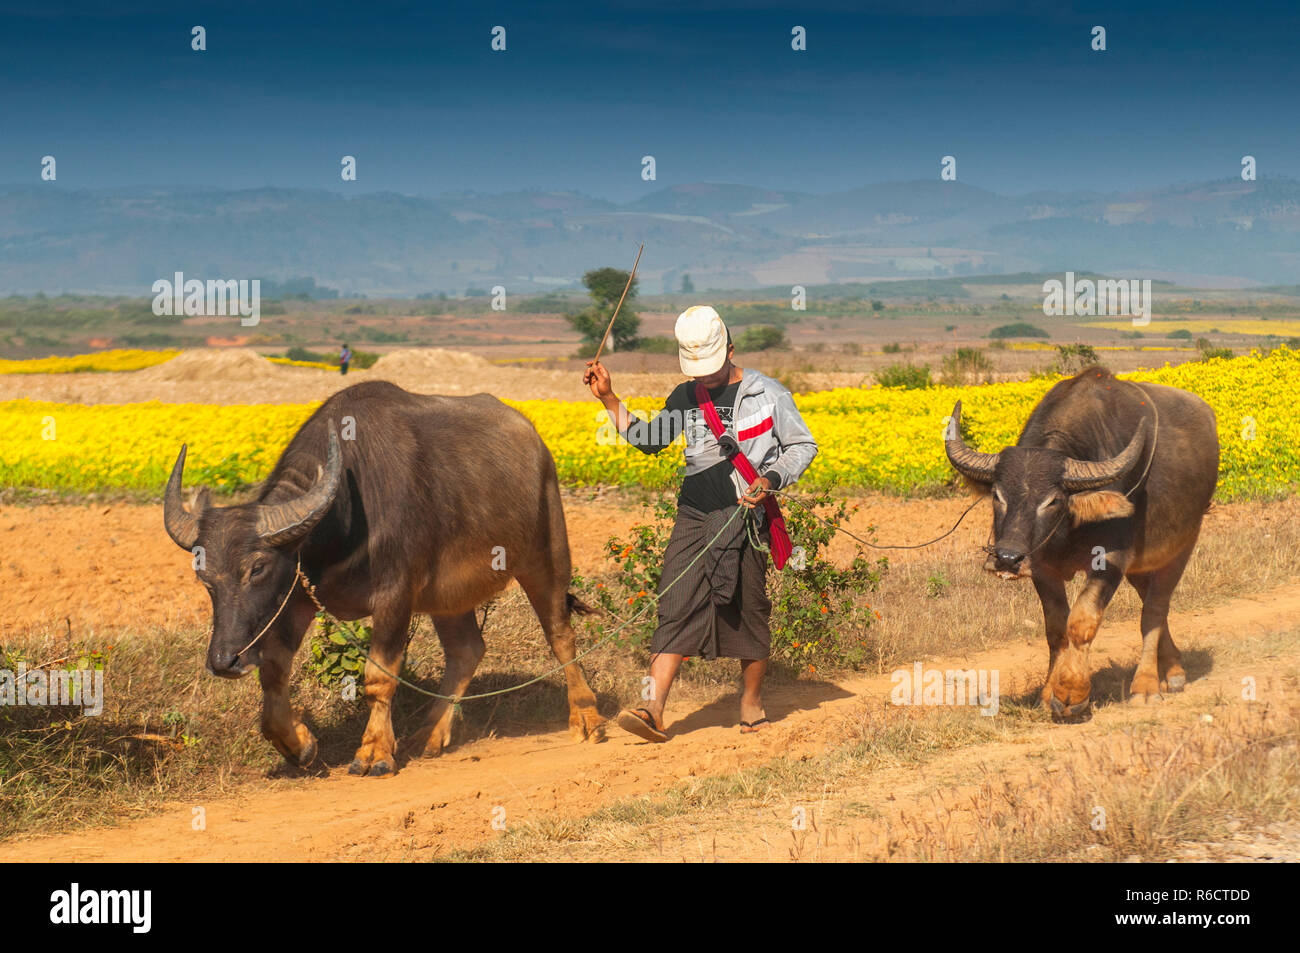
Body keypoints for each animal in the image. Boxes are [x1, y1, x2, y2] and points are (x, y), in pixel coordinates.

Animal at [163, 380, 606, 775]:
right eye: (205, 577)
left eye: (257, 567)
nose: (224, 662)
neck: (343, 522)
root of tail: (536, 445)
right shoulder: (297, 598)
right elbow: (273, 670)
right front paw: (299, 746)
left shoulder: (395, 596)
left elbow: (378, 675)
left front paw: (374, 752)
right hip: (449, 598)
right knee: (467, 650)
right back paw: (429, 735)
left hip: (546, 555)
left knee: (560, 634)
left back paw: (586, 718)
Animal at [945, 366, 1218, 720]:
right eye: (997, 495)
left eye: (1053, 500)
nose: (1007, 559)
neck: (1070, 527)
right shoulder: (1043, 568)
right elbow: (1056, 628)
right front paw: (1048, 693)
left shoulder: (1111, 559)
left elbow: (1081, 621)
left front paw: (1072, 693)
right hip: (1139, 566)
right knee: (1149, 600)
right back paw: (1173, 670)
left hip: (1181, 544)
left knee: (1155, 609)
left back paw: (1146, 686)